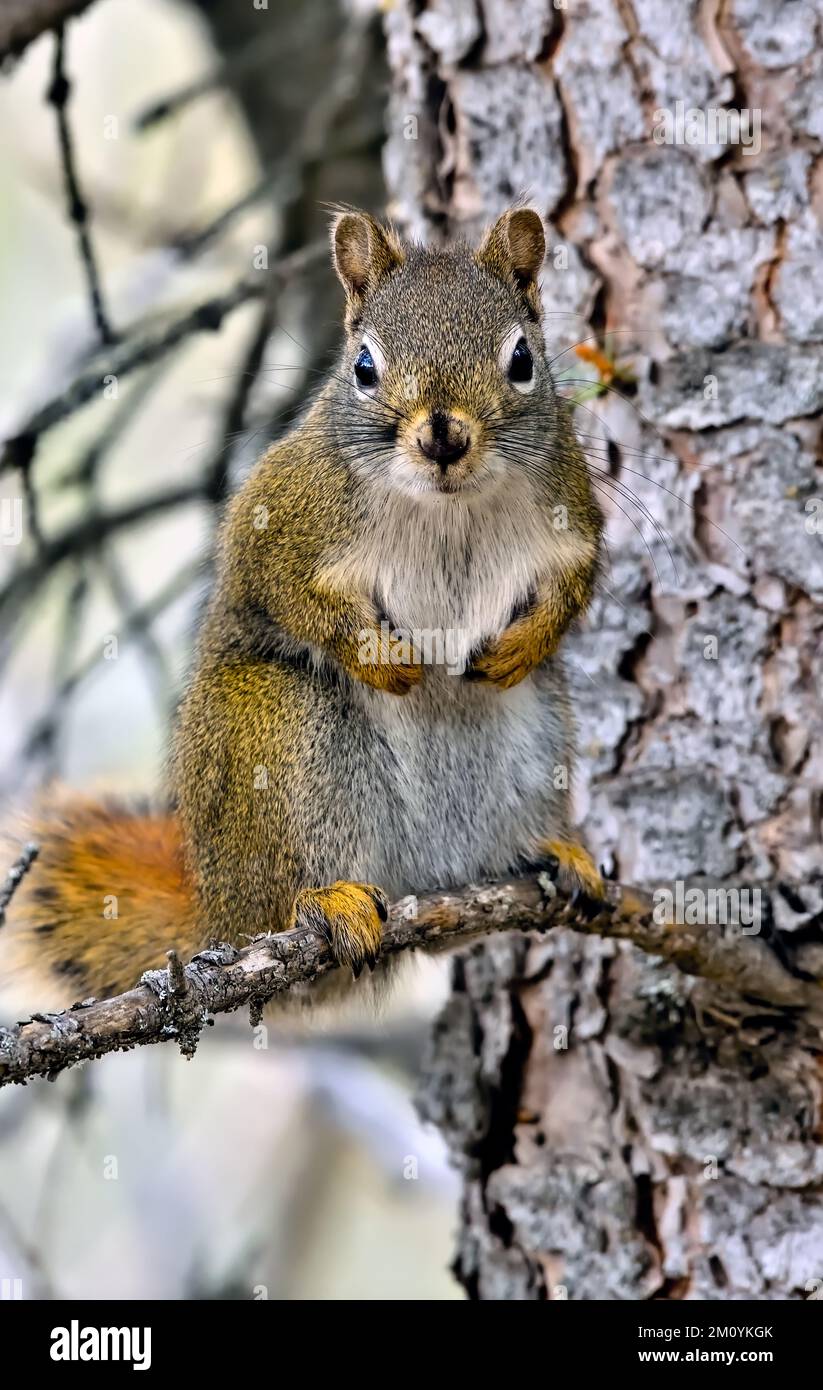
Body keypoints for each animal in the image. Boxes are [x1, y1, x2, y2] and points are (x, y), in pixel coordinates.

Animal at [1, 205, 605, 1017]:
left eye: (521, 360)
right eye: (363, 367)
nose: (443, 435)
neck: (448, 505)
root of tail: (215, 914)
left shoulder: (570, 507)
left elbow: (576, 583)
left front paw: (523, 642)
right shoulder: (280, 517)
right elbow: (283, 592)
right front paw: (382, 660)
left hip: (534, 741)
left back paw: (547, 853)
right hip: (281, 736)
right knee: (280, 905)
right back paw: (324, 903)